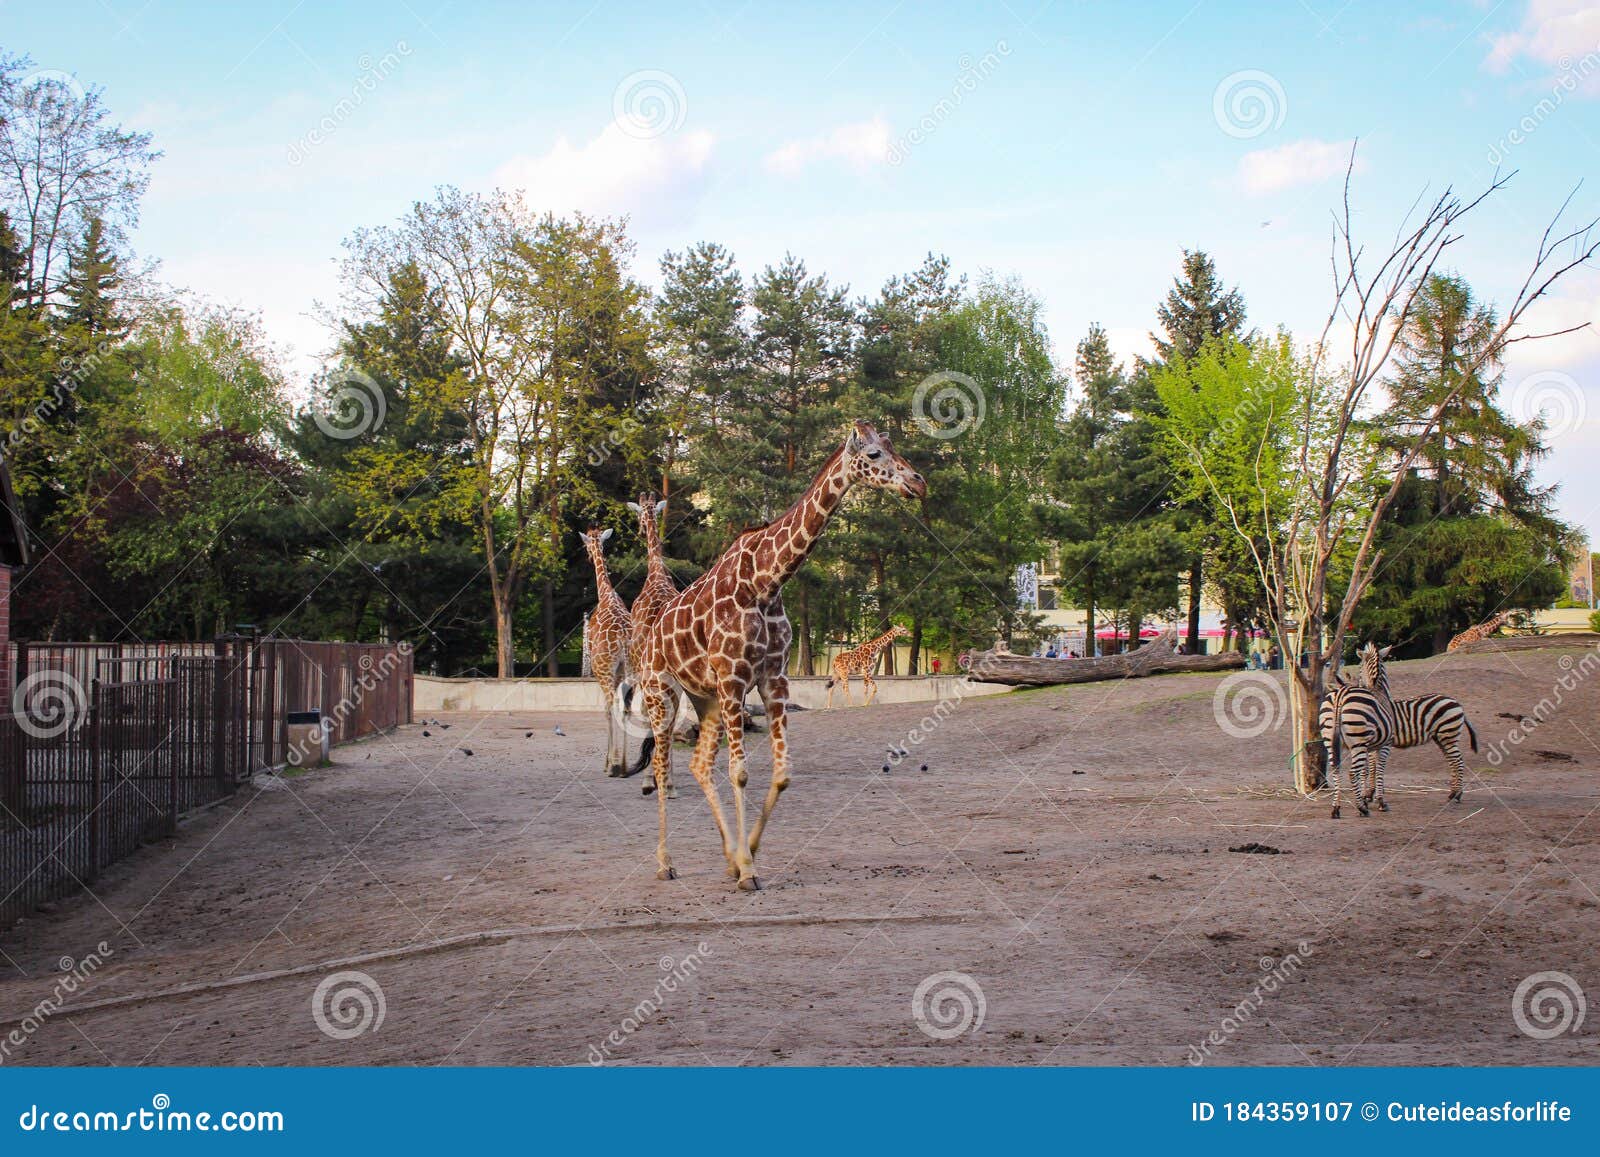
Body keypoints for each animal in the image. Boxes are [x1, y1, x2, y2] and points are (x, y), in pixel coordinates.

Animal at [635, 420, 926, 890]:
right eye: (875, 454)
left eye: (893, 445)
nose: (918, 482)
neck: (765, 582)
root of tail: (651, 635)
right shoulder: (735, 678)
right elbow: (740, 773)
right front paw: (749, 872)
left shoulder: (773, 678)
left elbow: (782, 774)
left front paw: (747, 854)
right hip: (662, 690)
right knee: (663, 766)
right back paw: (665, 863)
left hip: (707, 698)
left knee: (698, 764)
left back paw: (726, 856)